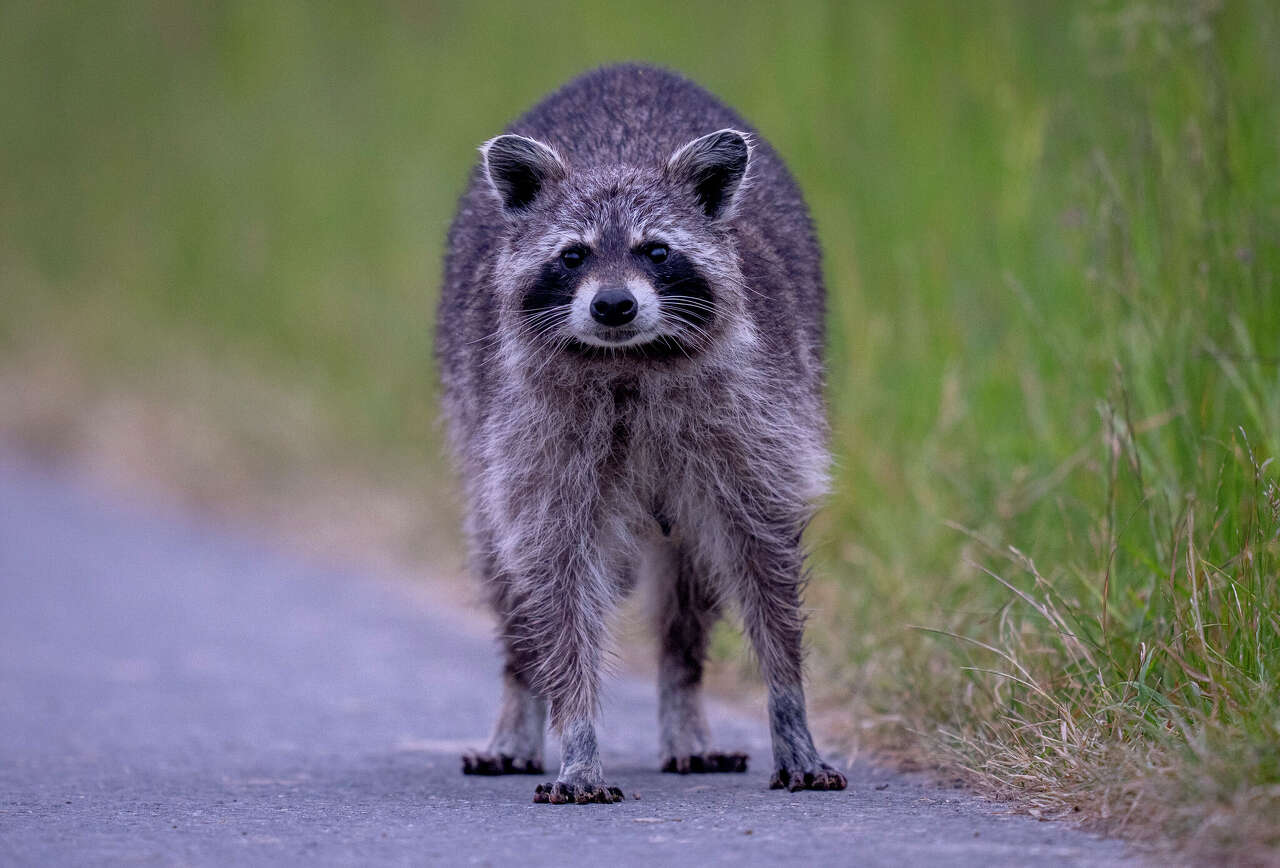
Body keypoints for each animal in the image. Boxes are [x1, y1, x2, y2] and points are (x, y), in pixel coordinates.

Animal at [436, 64, 846, 804]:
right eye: (573, 256)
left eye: (657, 251)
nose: (613, 305)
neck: (628, 359)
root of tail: (627, 69)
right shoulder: (533, 433)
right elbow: (555, 576)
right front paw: (575, 733)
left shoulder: (759, 419)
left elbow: (765, 562)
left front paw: (790, 714)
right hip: (473, 417)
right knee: (504, 569)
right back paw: (518, 700)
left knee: (690, 595)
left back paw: (683, 701)